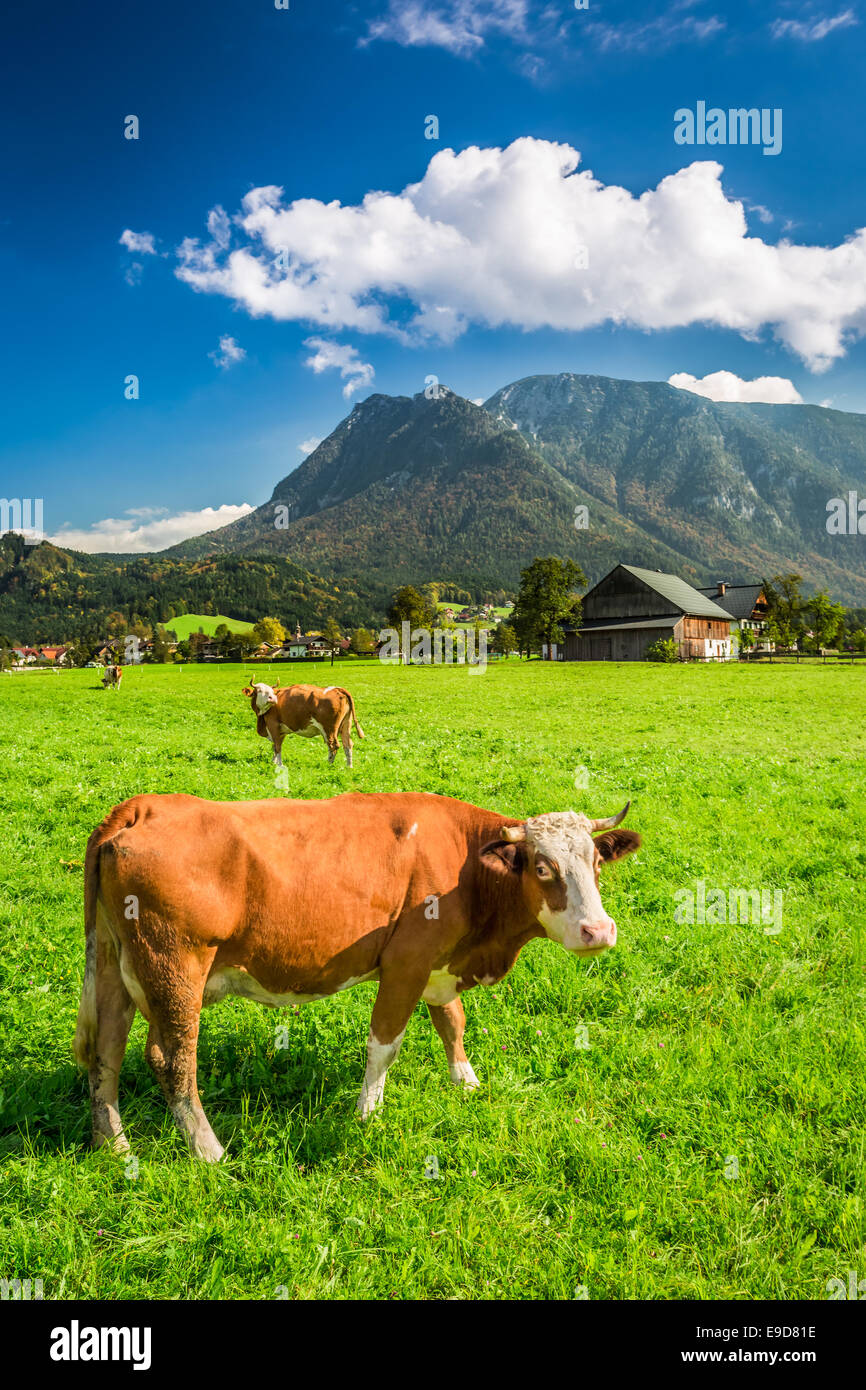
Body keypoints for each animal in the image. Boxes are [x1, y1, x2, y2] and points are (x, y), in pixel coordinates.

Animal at [74, 791, 641, 1161]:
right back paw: (208, 1150)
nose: (598, 930)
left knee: (106, 1052)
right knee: (171, 1060)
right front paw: (368, 1114)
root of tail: (140, 807)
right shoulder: (406, 963)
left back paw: (113, 1144)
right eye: (542, 868)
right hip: (174, 967)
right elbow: (384, 1044)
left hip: (115, 965)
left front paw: (466, 1081)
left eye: (595, 862)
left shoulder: (438, 964)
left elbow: (451, 1022)